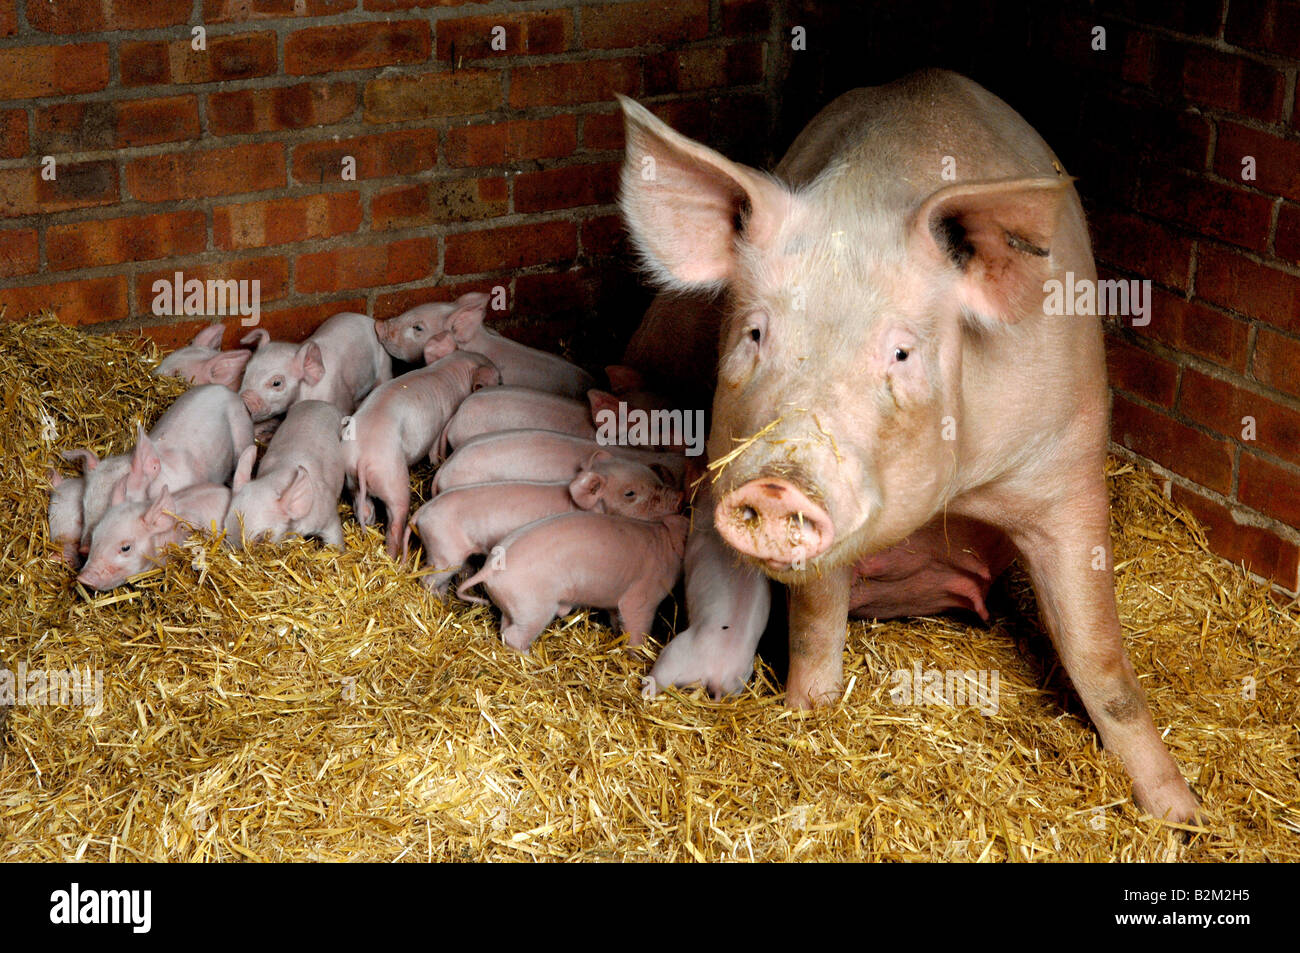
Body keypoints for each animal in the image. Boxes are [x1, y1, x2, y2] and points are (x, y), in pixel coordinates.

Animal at [225, 400, 346, 548]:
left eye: (261, 537)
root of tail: (318, 402)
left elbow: (335, 538)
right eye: (225, 528)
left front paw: (340, 550)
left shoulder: (328, 515)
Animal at [238, 312, 392, 422]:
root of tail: (369, 319)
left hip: (384, 361)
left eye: (276, 383)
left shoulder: (340, 396)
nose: (244, 399)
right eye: (246, 371)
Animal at [343, 344, 501, 557]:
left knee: (365, 508)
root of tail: (362, 458)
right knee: (395, 522)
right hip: (392, 478)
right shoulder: (441, 426)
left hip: (352, 478)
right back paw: (394, 557)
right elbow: (435, 450)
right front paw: (437, 461)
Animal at [457, 512, 688, 652]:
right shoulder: (643, 594)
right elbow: (636, 625)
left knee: (505, 629)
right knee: (515, 635)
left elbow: (617, 618)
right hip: (533, 607)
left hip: (513, 605)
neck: (665, 544)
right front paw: (639, 654)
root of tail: (489, 568)